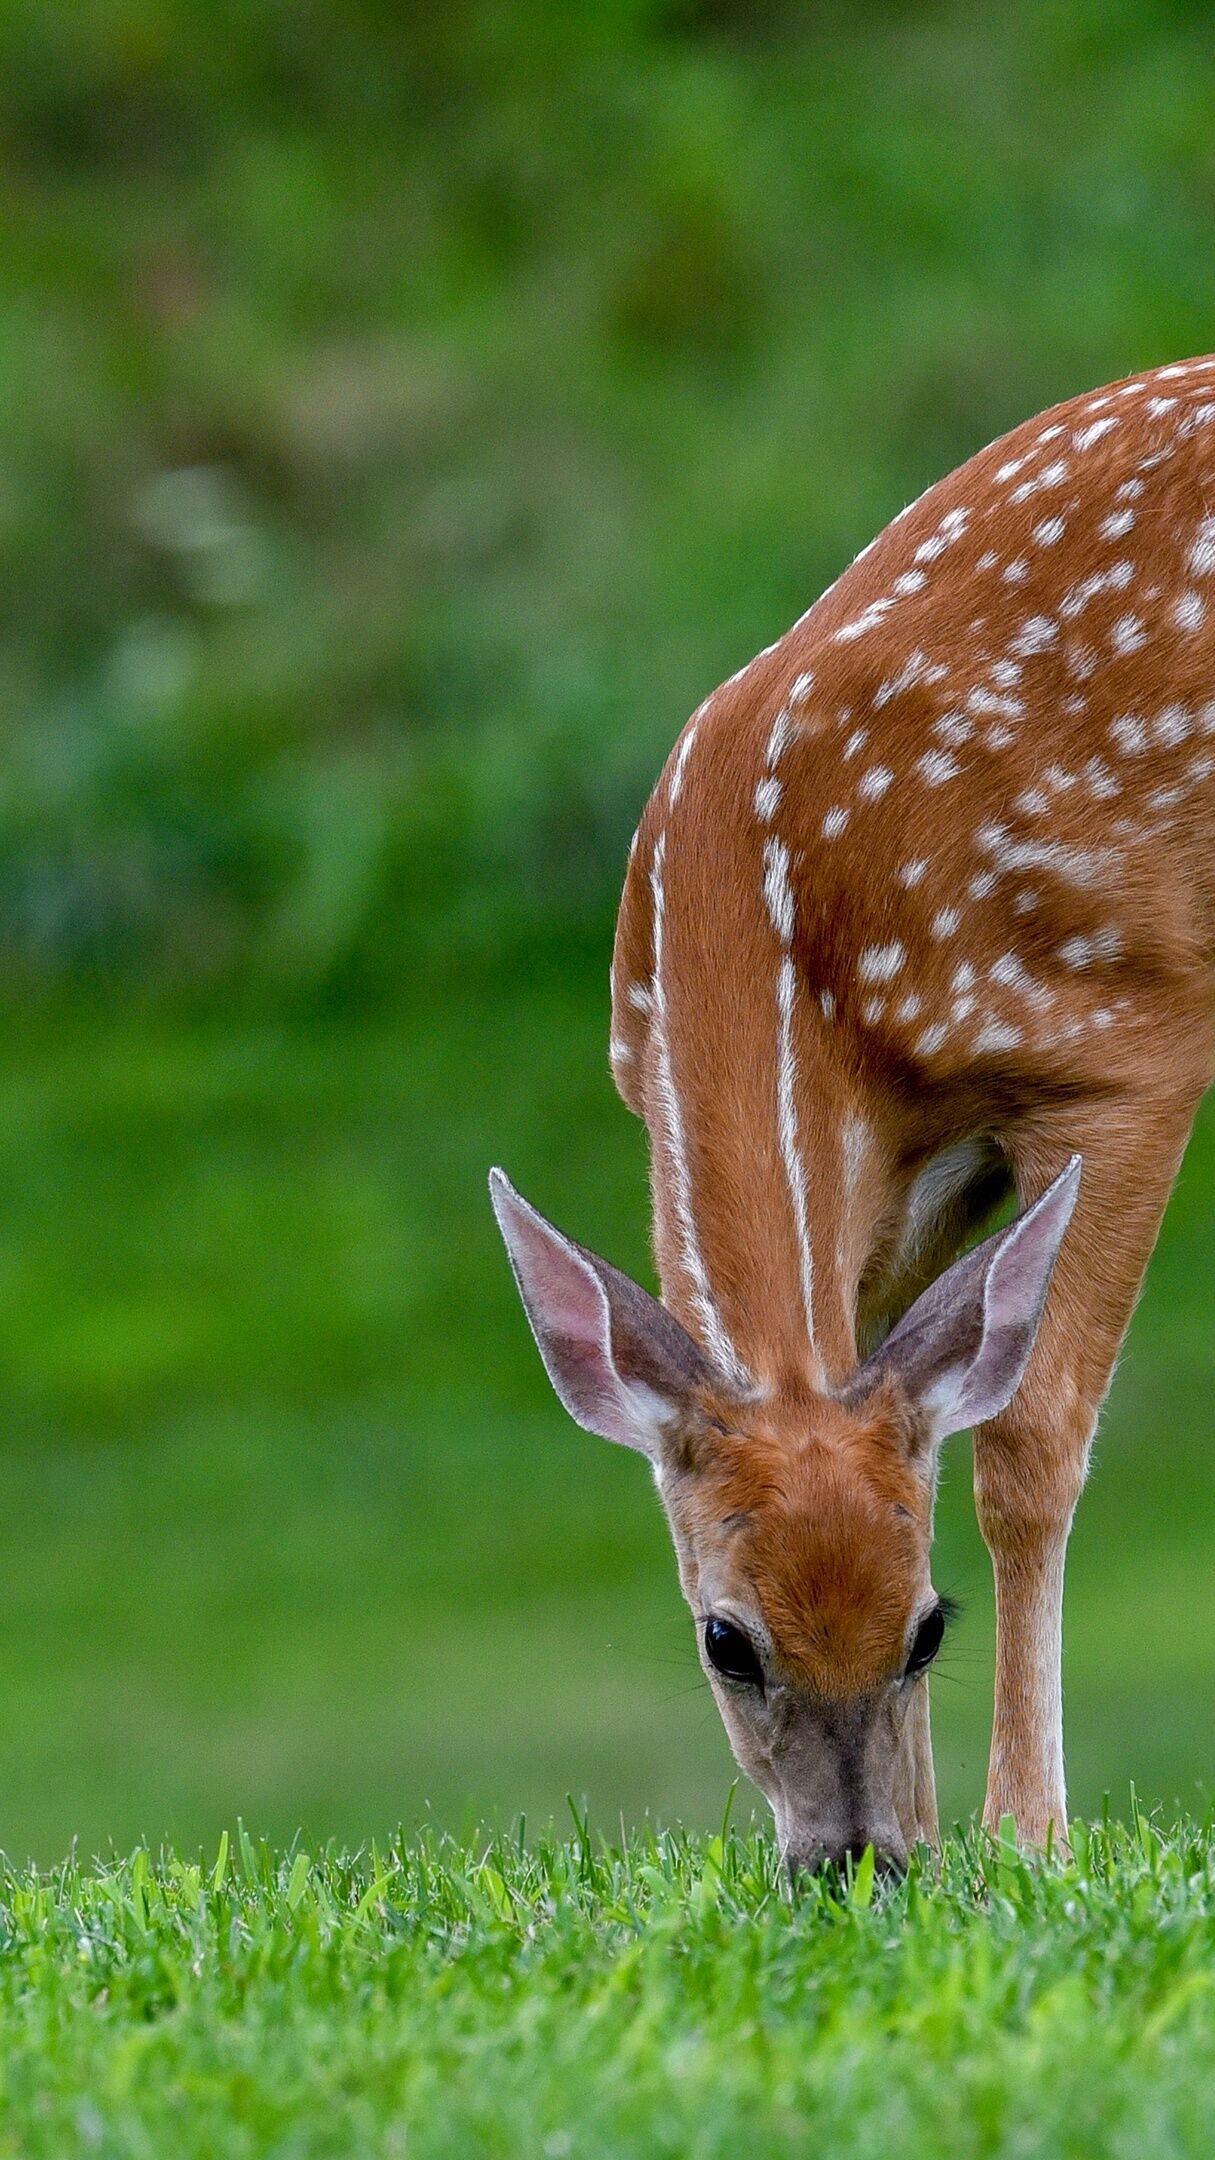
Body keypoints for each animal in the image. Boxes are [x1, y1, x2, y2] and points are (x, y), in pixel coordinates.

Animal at [491, 355, 1215, 1879]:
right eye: (727, 1642)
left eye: (926, 1629)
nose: (851, 1862)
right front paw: (942, 1835)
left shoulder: (1124, 1042)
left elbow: (1026, 1451)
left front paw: (1025, 1834)